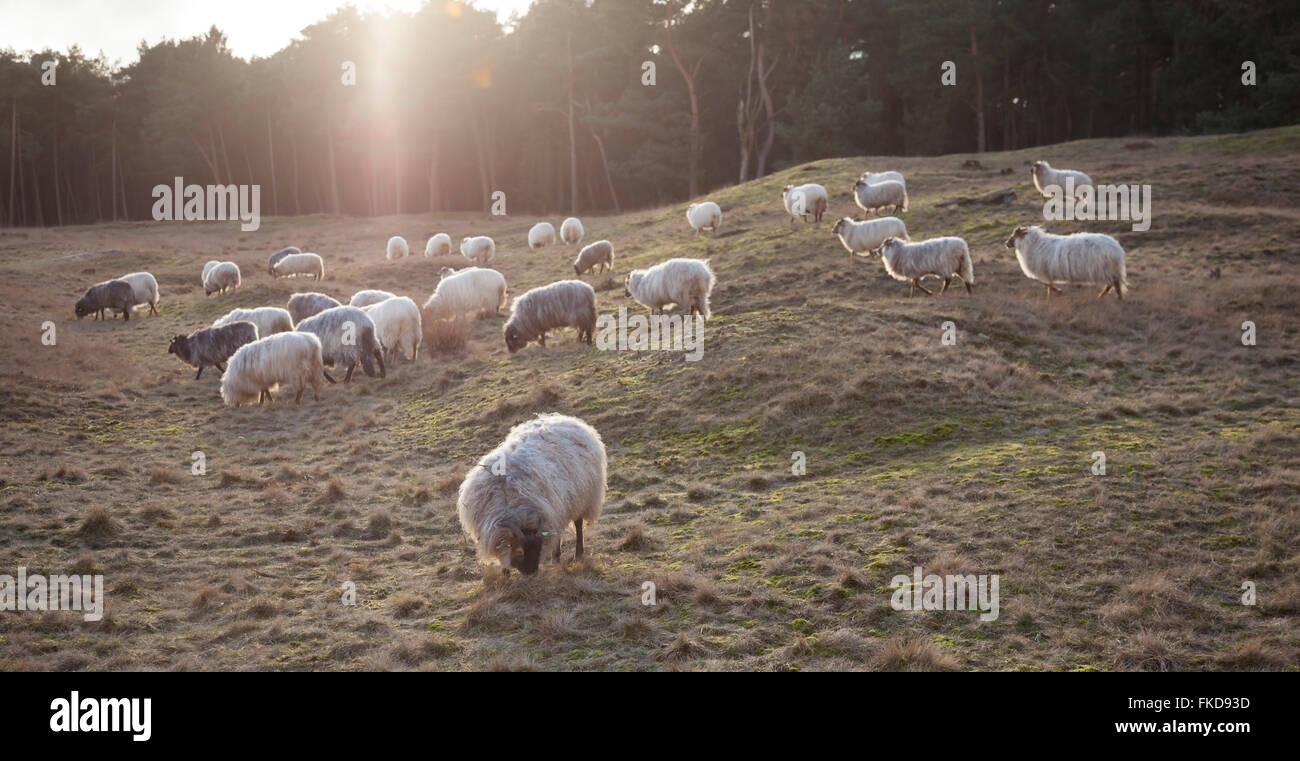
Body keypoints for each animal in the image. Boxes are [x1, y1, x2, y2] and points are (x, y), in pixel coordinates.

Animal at [457, 413, 606, 576]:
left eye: (539, 549)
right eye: (520, 551)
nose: (532, 574)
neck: (510, 503)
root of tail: (569, 419)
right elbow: (503, 552)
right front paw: (505, 573)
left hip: (582, 497)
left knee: (578, 524)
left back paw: (575, 554)